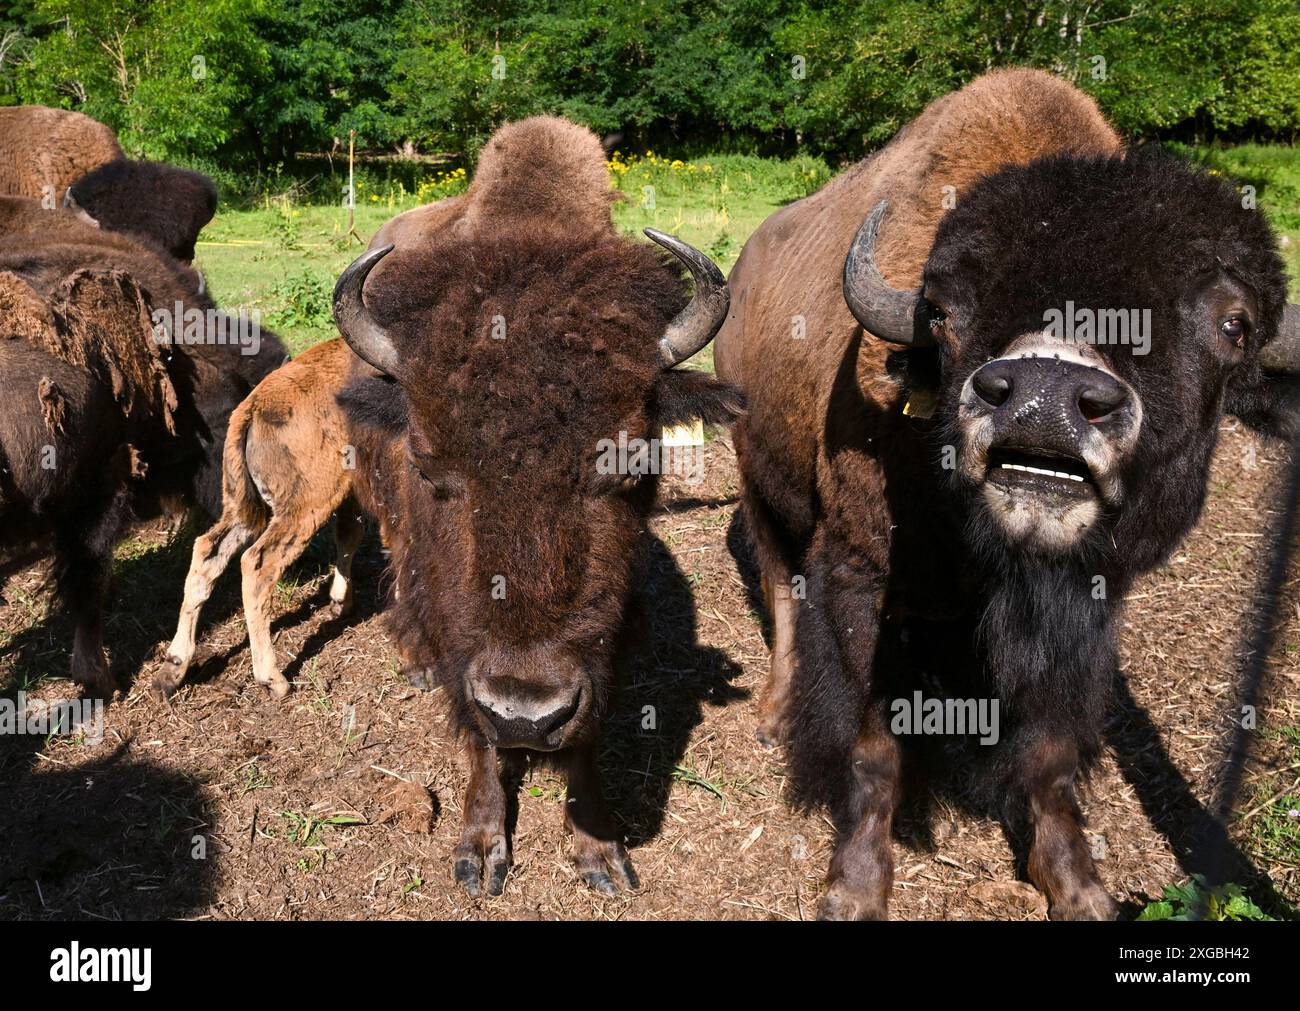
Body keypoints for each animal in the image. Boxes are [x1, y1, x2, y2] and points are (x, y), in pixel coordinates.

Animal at [714, 68, 1299, 919]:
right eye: (944, 312)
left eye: (1233, 323)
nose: (1045, 397)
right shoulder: (858, 575)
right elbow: (870, 750)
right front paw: (854, 889)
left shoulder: (1086, 606)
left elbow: (1050, 749)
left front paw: (1076, 884)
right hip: (760, 483)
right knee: (778, 586)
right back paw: (771, 713)